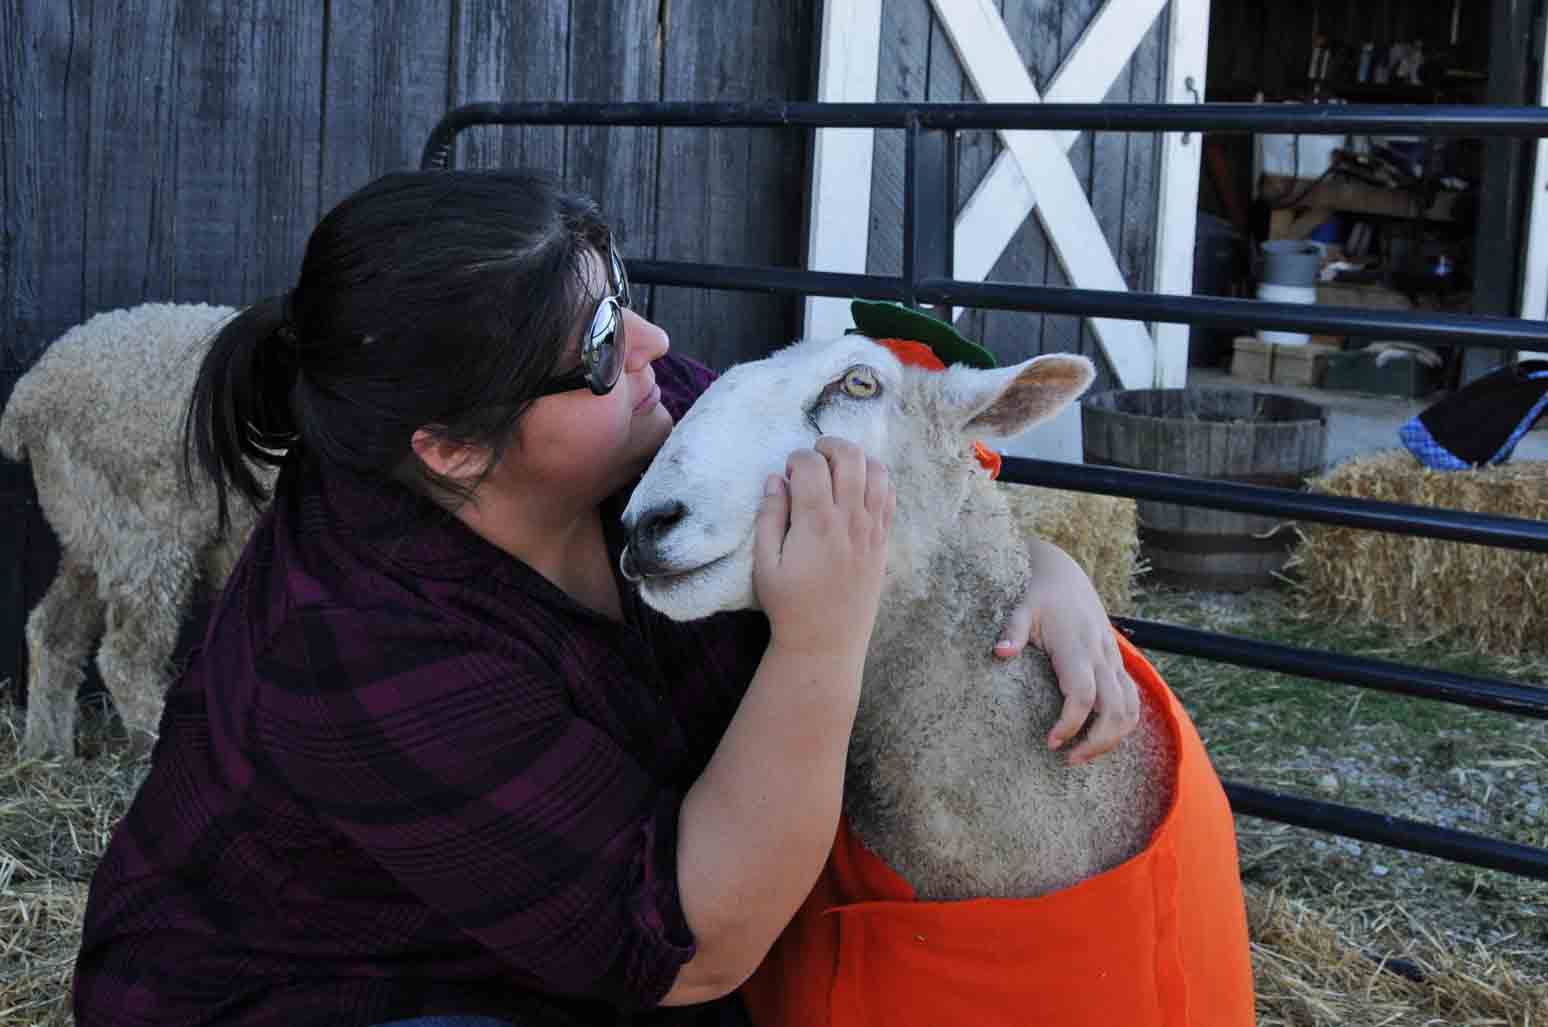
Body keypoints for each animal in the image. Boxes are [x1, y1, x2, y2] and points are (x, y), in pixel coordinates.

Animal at [1, 303, 263, 759]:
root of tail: (30, 395)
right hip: (147, 536)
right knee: (126, 658)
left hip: (91, 527)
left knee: (53, 633)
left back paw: (48, 750)